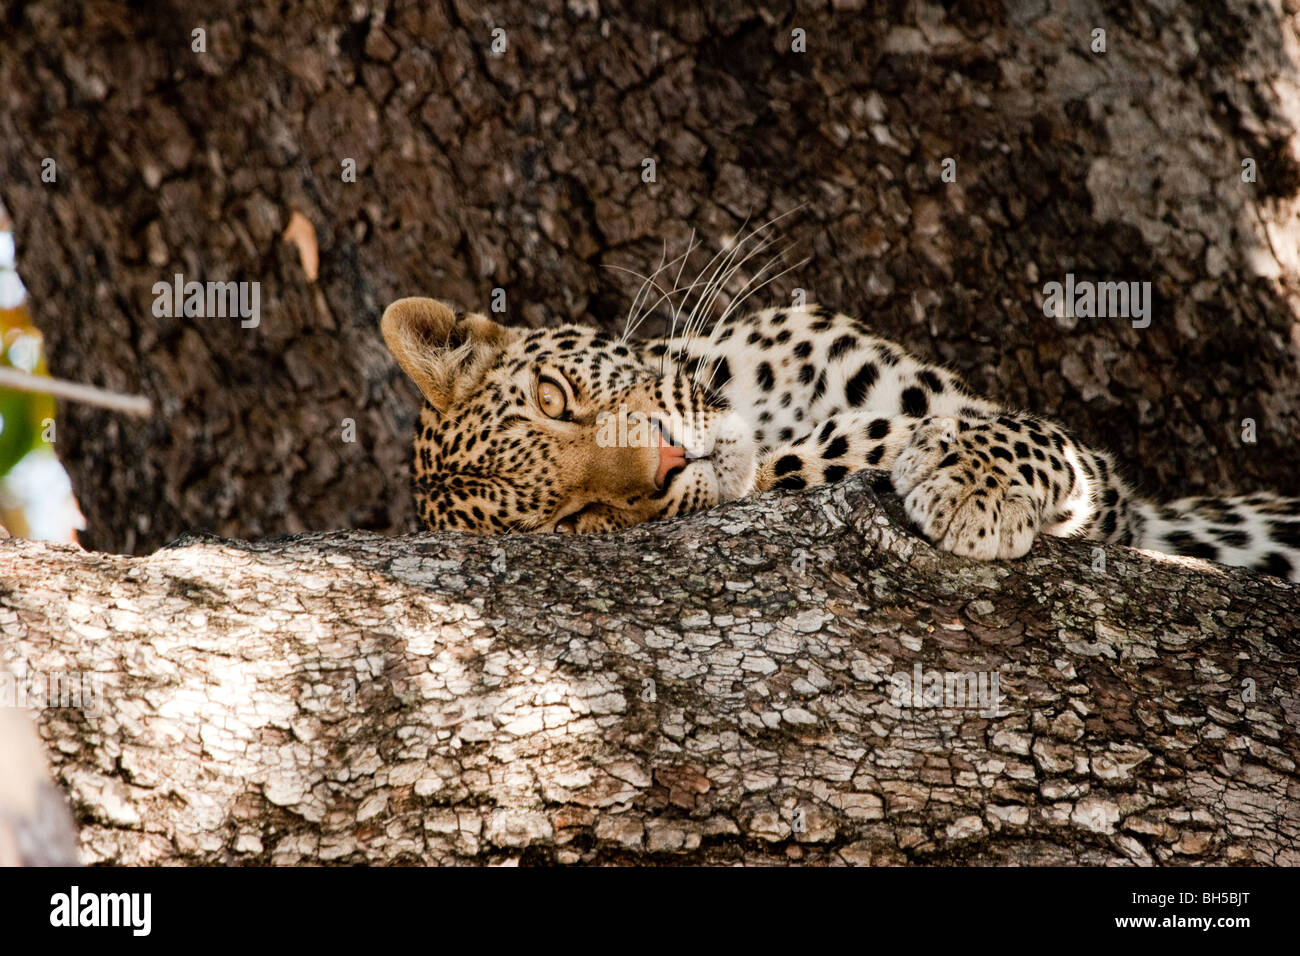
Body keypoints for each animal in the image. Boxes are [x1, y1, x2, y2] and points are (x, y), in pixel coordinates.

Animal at [380, 295, 1300, 582]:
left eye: (555, 399)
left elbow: (1007, 425)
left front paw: (974, 476)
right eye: (576, 521)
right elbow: (824, 458)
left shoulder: (1100, 487)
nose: (670, 460)